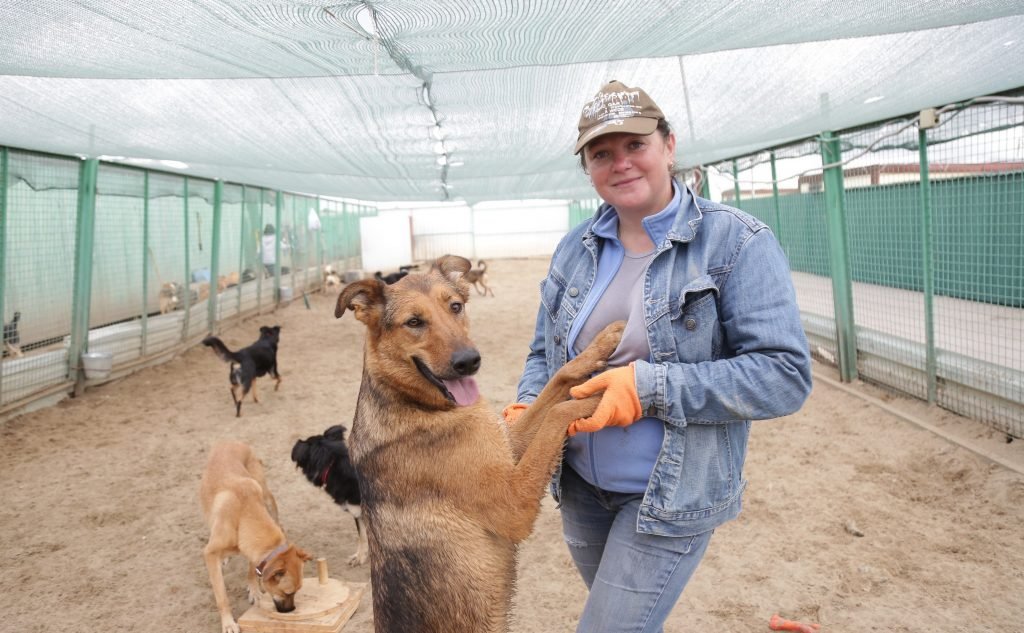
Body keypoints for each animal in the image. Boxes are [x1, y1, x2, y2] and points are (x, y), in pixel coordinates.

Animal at [198, 438, 311, 630]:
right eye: (288, 592)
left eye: (298, 590)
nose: (291, 610)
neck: (243, 512)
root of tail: (230, 441)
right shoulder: (210, 554)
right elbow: (222, 596)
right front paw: (228, 623)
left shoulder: (255, 551)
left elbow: (252, 569)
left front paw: (255, 590)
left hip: (266, 495)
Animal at [335, 252, 622, 630]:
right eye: (414, 322)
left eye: (455, 306)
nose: (469, 361)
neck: (414, 402)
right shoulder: (514, 503)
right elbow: (559, 412)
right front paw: (610, 390)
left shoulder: (509, 445)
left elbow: (559, 380)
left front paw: (600, 348)